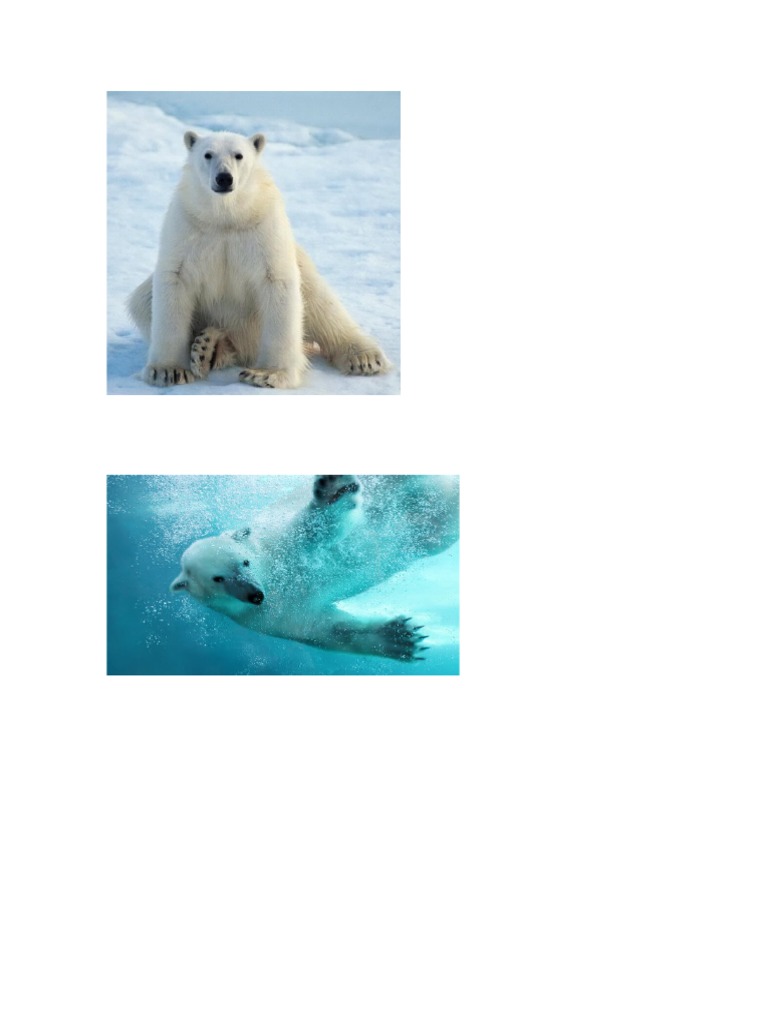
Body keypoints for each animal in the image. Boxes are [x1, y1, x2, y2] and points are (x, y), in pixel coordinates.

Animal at [127, 129, 393, 388]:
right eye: (207, 154)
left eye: (239, 155)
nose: (224, 178)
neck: (226, 217)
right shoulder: (187, 226)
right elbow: (175, 280)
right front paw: (168, 371)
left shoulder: (263, 227)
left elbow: (277, 283)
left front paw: (266, 375)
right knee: (142, 300)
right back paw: (208, 348)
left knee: (322, 304)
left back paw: (365, 358)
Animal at [170, 475, 460, 661]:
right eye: (218, 579)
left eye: (245, 562)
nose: (256, 594)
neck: (271, 575)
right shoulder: (269, 617)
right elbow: (328, 629)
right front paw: (400, 637)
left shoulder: (279, 542)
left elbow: (316, 527)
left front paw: (333, 490)